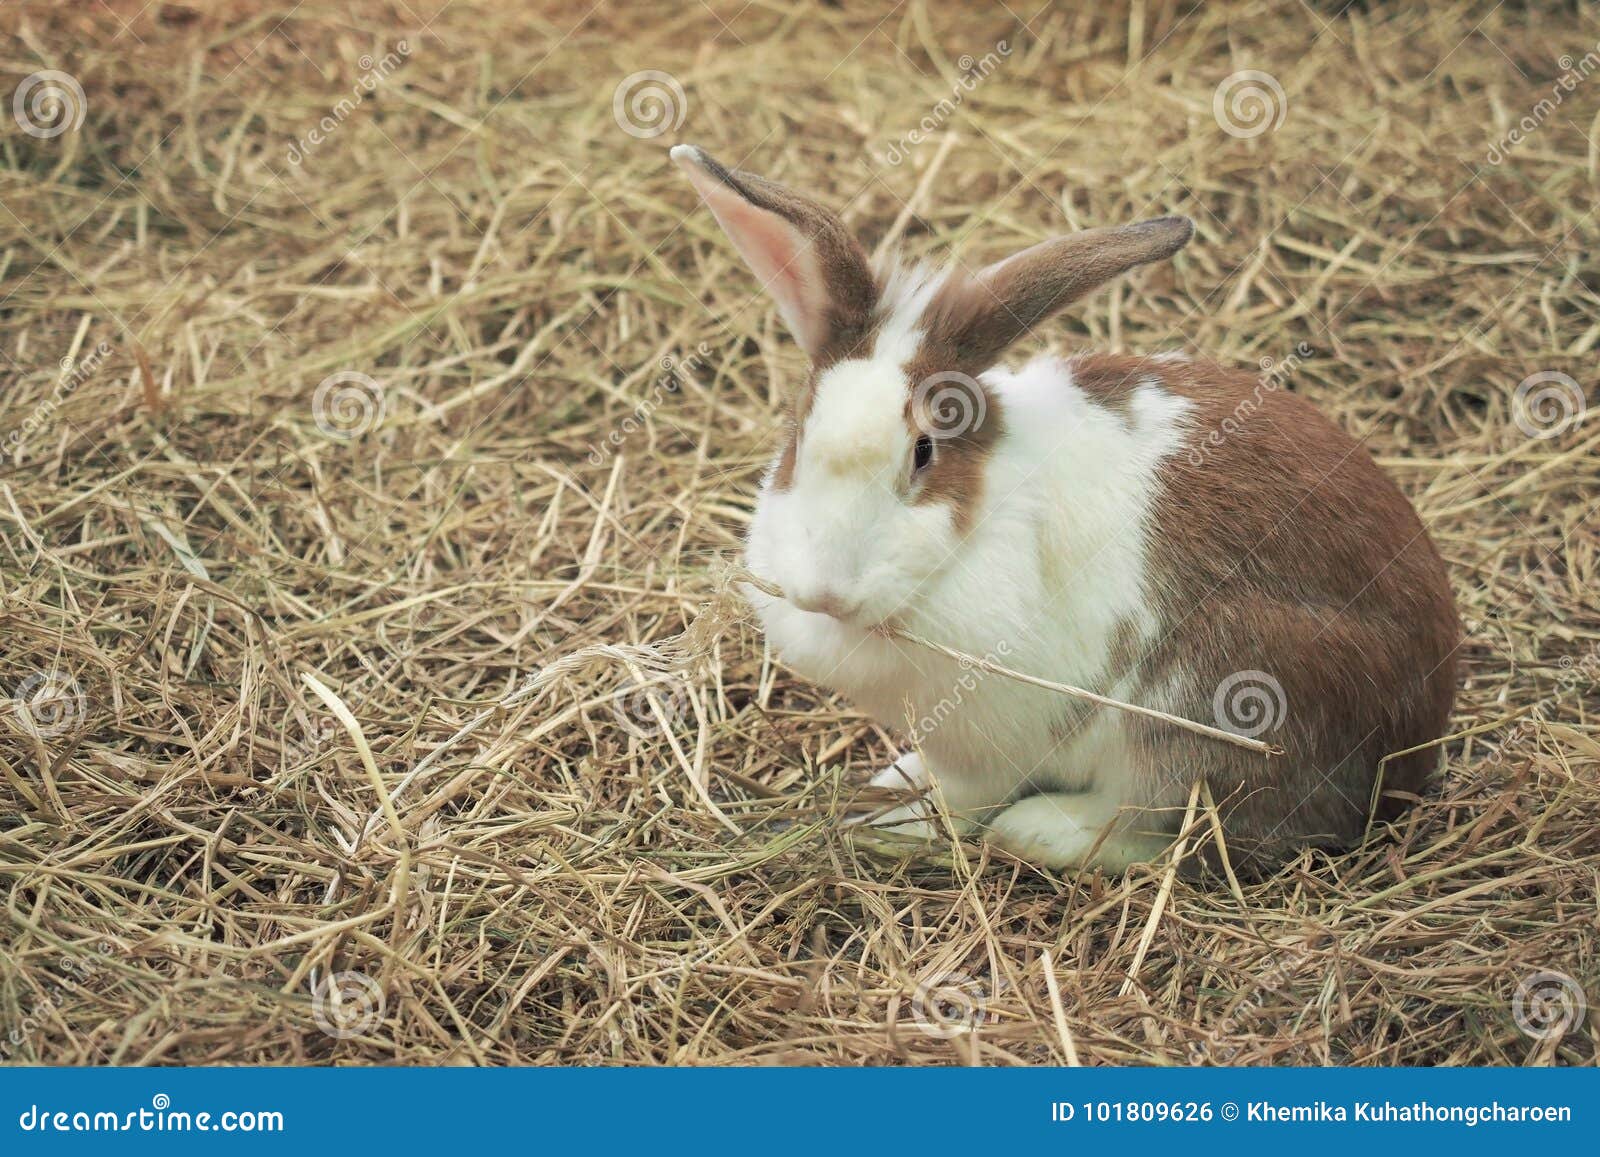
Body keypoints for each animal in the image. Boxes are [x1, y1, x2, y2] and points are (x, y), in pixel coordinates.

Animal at [671, 143, 1459, 871]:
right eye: (799, 437)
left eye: (924, 452)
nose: (823, 593)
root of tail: (1415, 744)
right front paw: (894, 782)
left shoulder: (990, 738)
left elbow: (963, 798)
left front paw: (897, 824)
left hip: (1210, 704)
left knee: (1180, 831)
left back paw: (1043, 831)